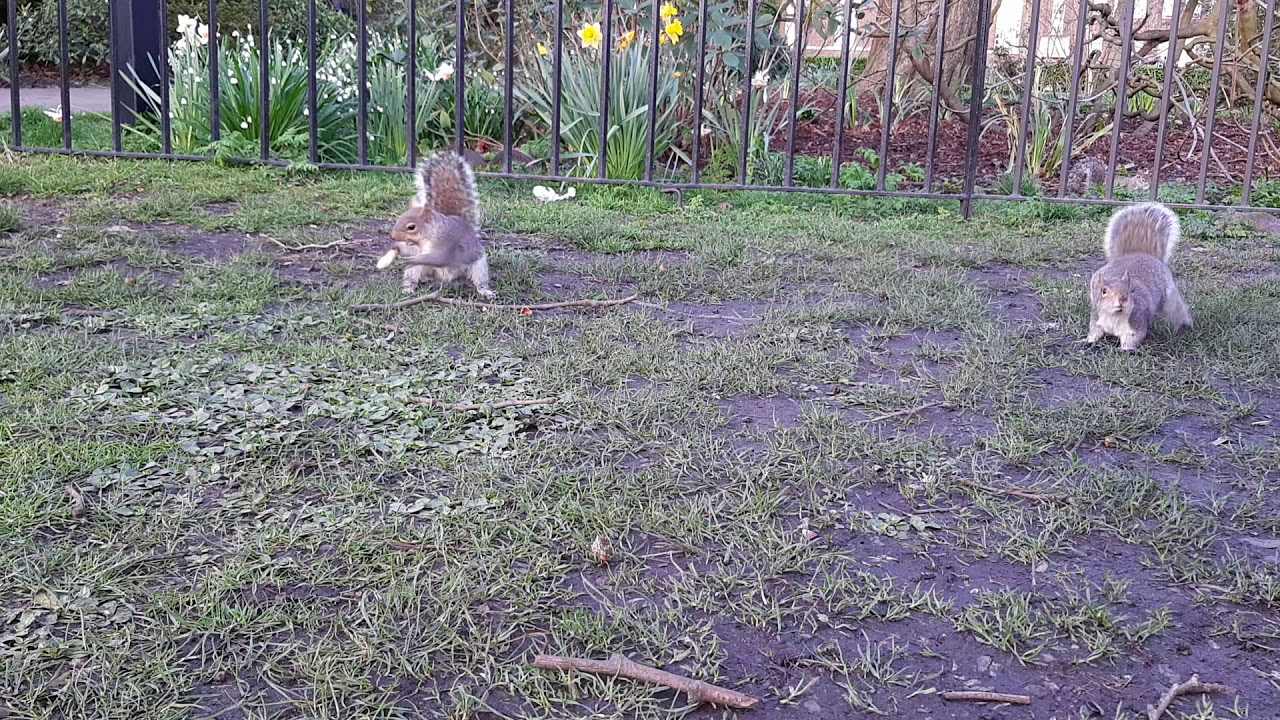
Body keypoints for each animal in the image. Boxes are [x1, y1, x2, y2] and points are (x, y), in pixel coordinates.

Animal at [387, 150, 496, 298]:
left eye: (411, 227)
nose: (392, 237)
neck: (426, 236)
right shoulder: (415, 248)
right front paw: (397, 249)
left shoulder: (445, 243)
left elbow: (438, 258)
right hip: (419, 271)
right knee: (415, 275)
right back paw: (410, 286)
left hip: (478, 264)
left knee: (480, 280)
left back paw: (484, 290)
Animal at [1085, 202, 1193, 351]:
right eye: (1104, 291)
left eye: (1130, 290)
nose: (1122, 298)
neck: (1115, 316)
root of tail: (1140, 253)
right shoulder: (1098, 317)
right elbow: (1094, 331)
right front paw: (1089, 341)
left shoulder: (1136, 323)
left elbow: (1134, 338)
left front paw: (1124, 350)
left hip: (1170, 298)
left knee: (1177, 310)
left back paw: (1185, 326)